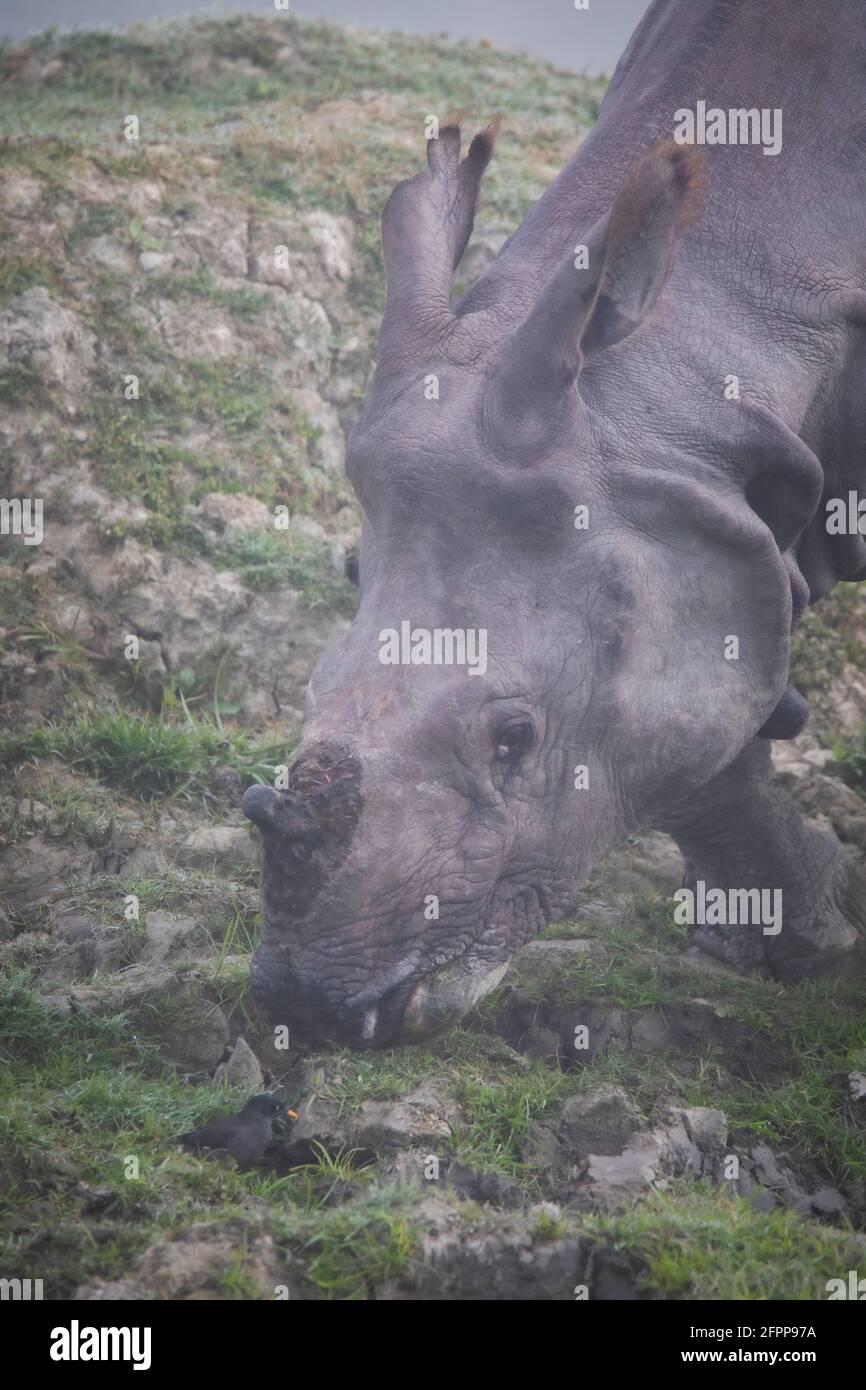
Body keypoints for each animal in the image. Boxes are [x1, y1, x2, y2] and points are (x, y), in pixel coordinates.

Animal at [243, 0, 866, 1046]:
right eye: (307, 688)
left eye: (515, 739)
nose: (311, 1006)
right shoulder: (692, 502)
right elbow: (710, 730)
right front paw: (798, 938)